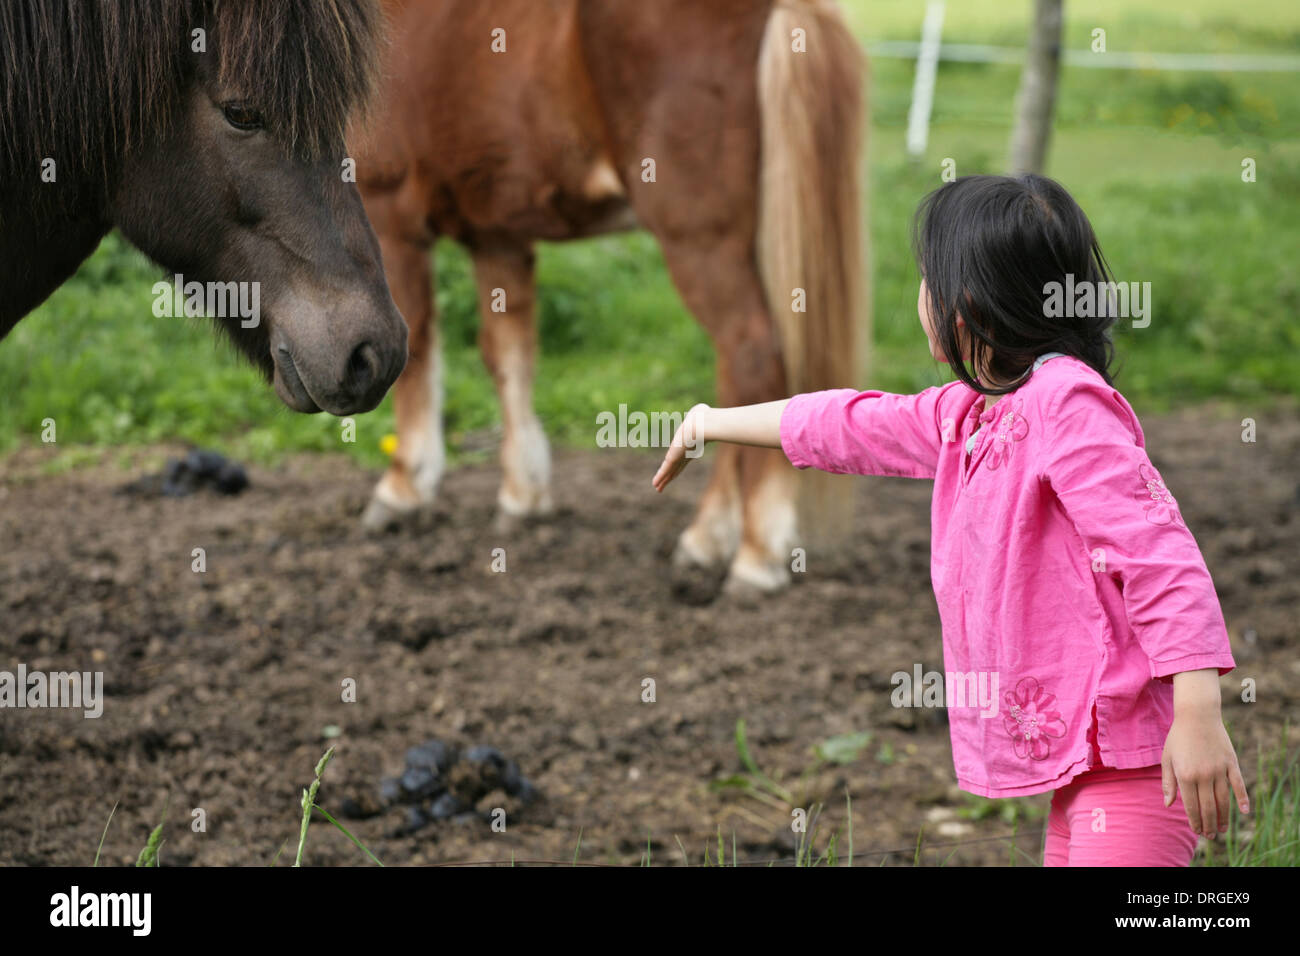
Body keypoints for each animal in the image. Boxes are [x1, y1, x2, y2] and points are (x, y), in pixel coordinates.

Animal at [356, 0, 866, 593]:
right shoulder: (499, 238)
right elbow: (508, 359)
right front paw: (523, 494)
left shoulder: (392, 219)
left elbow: (415, 355)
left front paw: (403, 488)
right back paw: (707, 539)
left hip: (702, 242)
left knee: (752, 357)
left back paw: (754, 556)